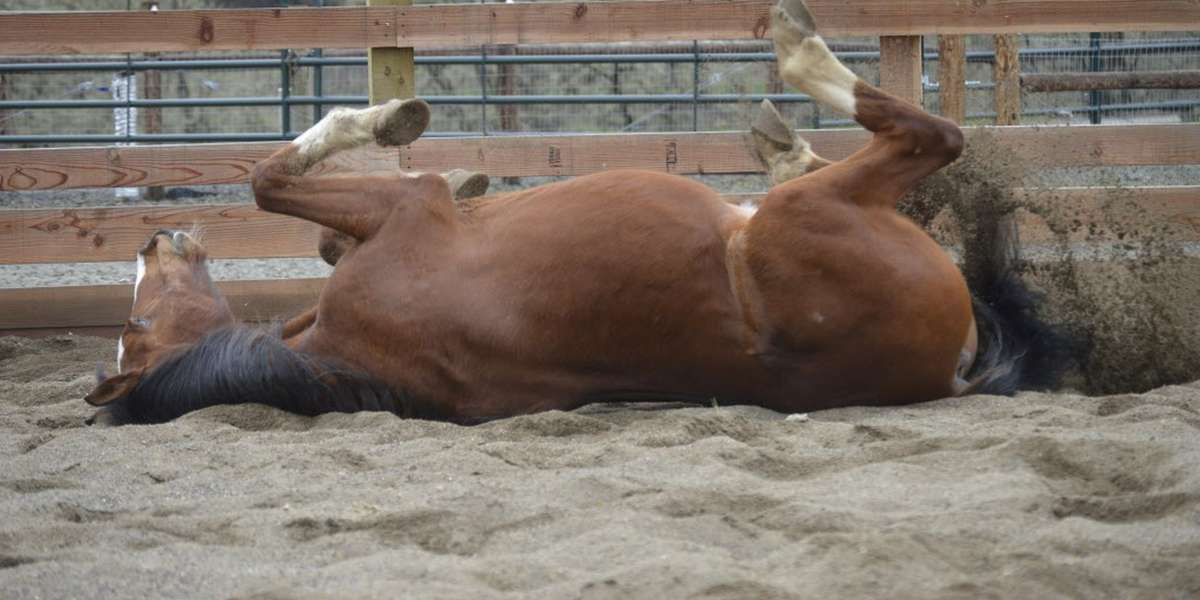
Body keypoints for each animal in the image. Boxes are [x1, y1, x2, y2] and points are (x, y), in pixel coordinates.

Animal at [85, 0, 1055, 426]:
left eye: (134, 322)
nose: (154, 238)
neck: (339, 351)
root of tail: (950, 369)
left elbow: (305, 215)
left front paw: (470, 176)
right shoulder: (404, 207)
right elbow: (267, 179)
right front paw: (396, 119)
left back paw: (782, 129)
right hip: (804, 215)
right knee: (926, 137)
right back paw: (794, 61)